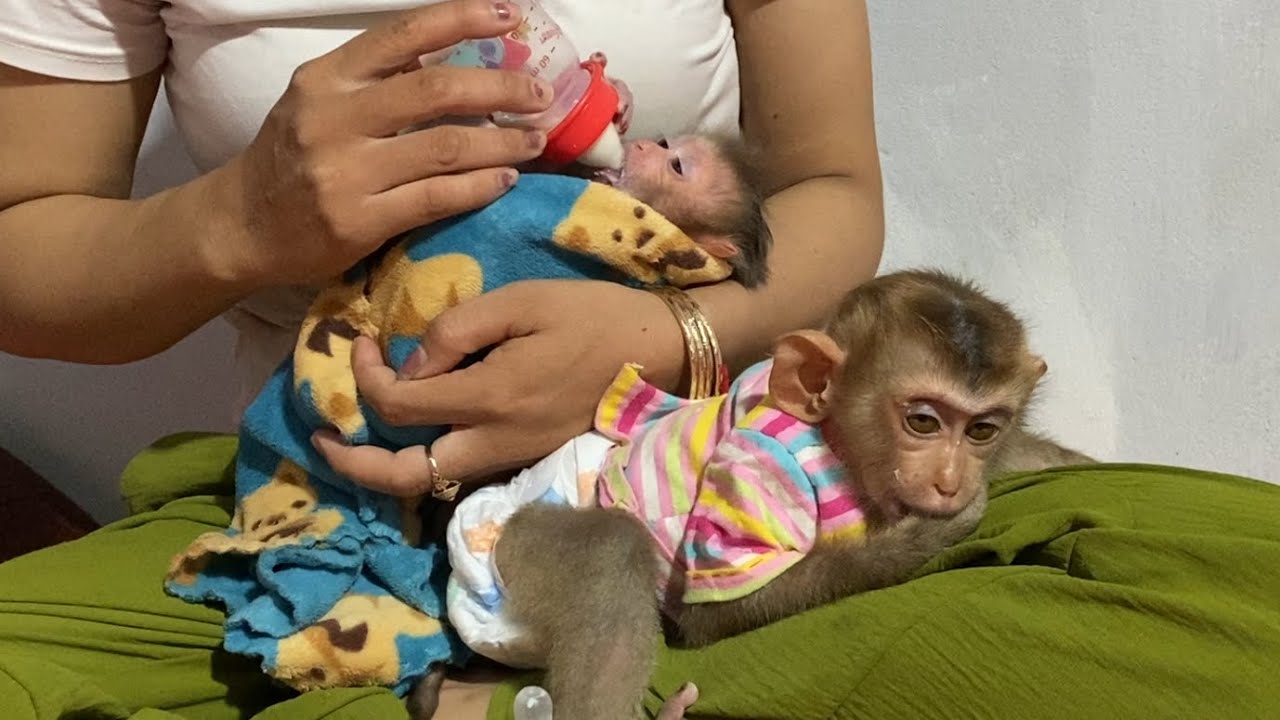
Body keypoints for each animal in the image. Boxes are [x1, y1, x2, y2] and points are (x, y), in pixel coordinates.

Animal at [409, 268, 1094, 719]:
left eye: (982, 430)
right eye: (923, 421)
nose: (950, 480)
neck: (841, 449)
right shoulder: (760, 472)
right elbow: (713, 611)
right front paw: (928, 535)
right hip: (508, 545)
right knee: (609, 550)